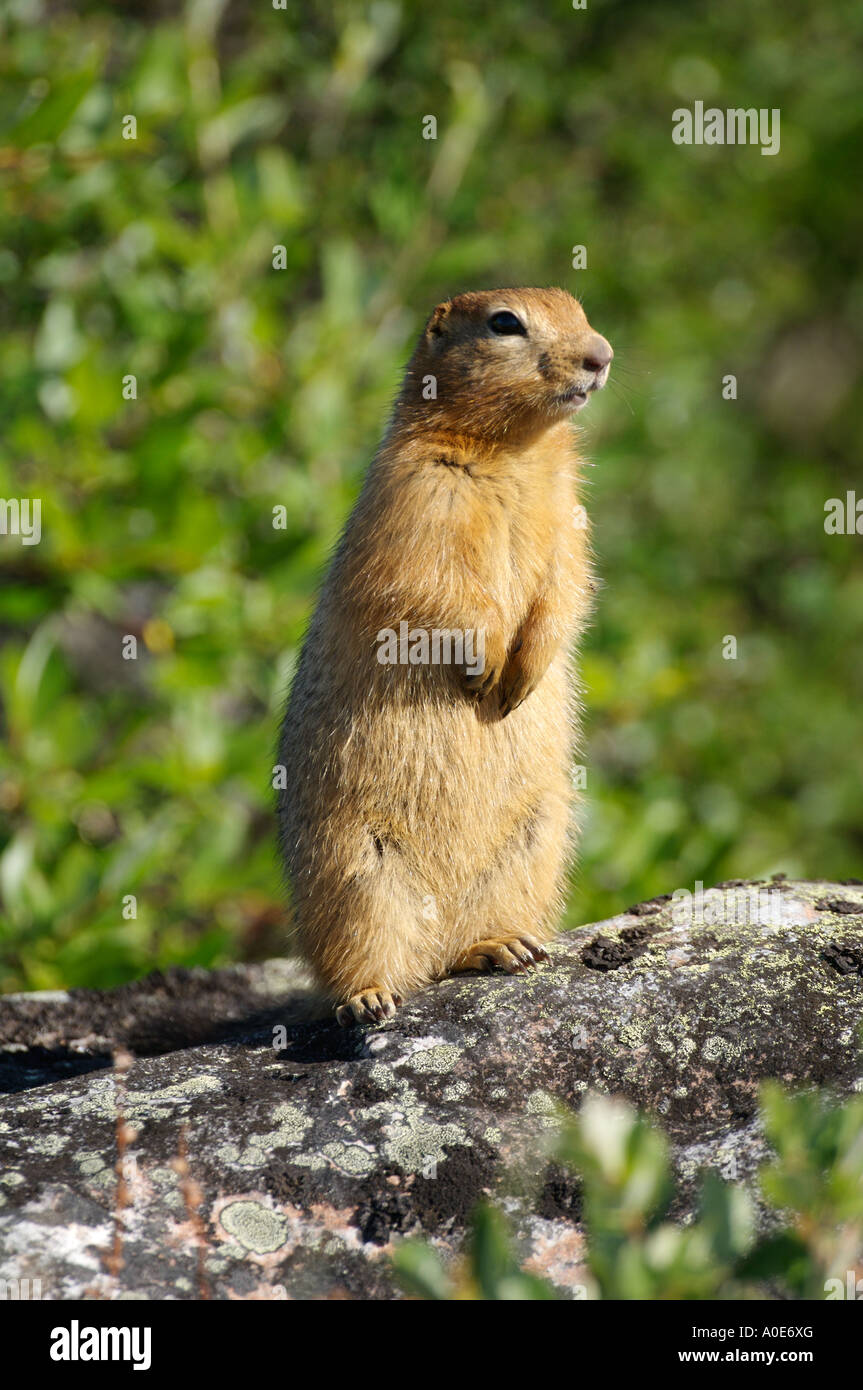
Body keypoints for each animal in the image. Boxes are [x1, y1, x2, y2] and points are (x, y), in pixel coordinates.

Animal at [277, 287, 612, 1025]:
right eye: (504, 322)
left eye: (579, 306)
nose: (601, 356)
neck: (517, 452)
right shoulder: (417, 496)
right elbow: (433, 585)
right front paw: (484, 668)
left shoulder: (572, 517)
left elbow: (567, 586)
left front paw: (521, 678)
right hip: (355, 867)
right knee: (361, 952)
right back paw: (368, 997)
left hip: (534, 844)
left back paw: (501, 948)